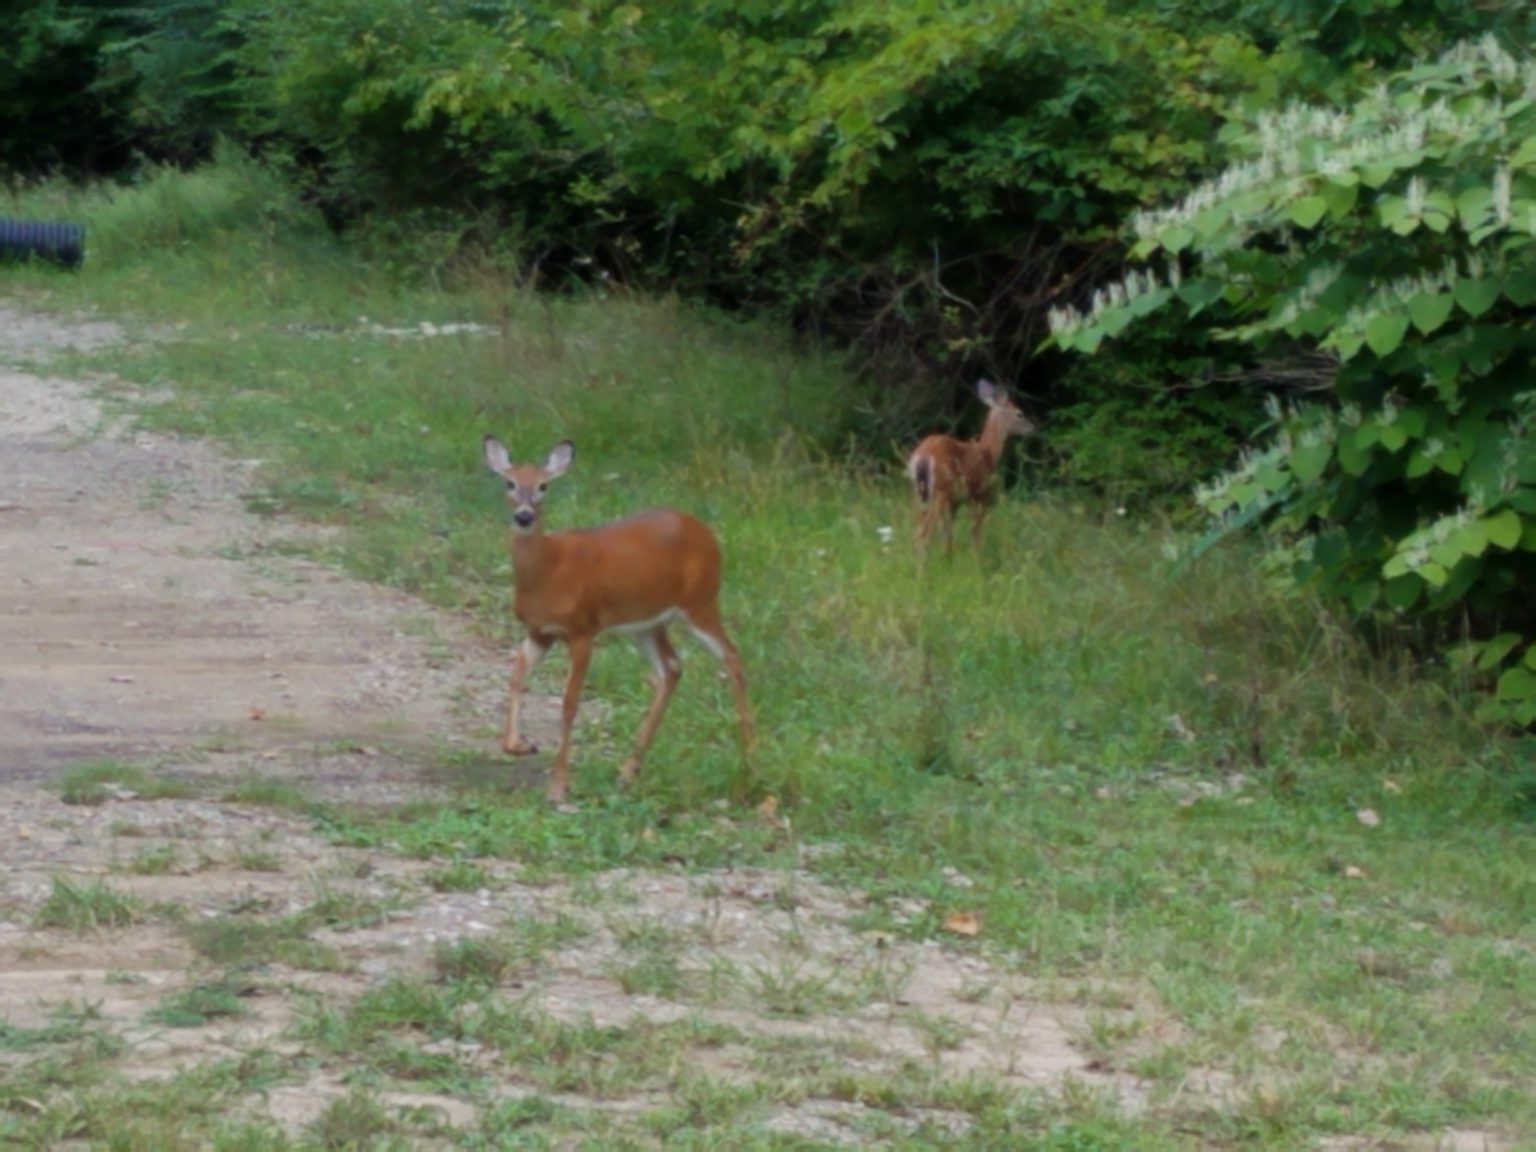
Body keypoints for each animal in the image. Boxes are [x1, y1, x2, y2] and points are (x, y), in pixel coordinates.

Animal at [482, 434, 753, 804]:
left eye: (543, 486)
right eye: (509, 483)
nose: (523, 516)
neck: (548, 571)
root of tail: (708, 535)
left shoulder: (583, 628)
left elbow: (569, 703)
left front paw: (558, 786)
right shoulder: (540, 632)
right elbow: (515, 677)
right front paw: (521, 745)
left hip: (700, 601)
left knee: (732, 656)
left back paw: (749, 761)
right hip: (648, 623)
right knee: (671, 668)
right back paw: (628, 769)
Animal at [906, 379, 1035, 554]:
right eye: (1019, 414)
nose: (1033, 428)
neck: (987, 453)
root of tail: (923, 456)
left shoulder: (956, 501)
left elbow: (948, 534)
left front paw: (948, 557)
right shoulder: (978, 492)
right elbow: (975, 529)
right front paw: (977, 556)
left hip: (920, 492)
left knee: (918, 528)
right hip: (940, 490)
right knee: (924, 531)